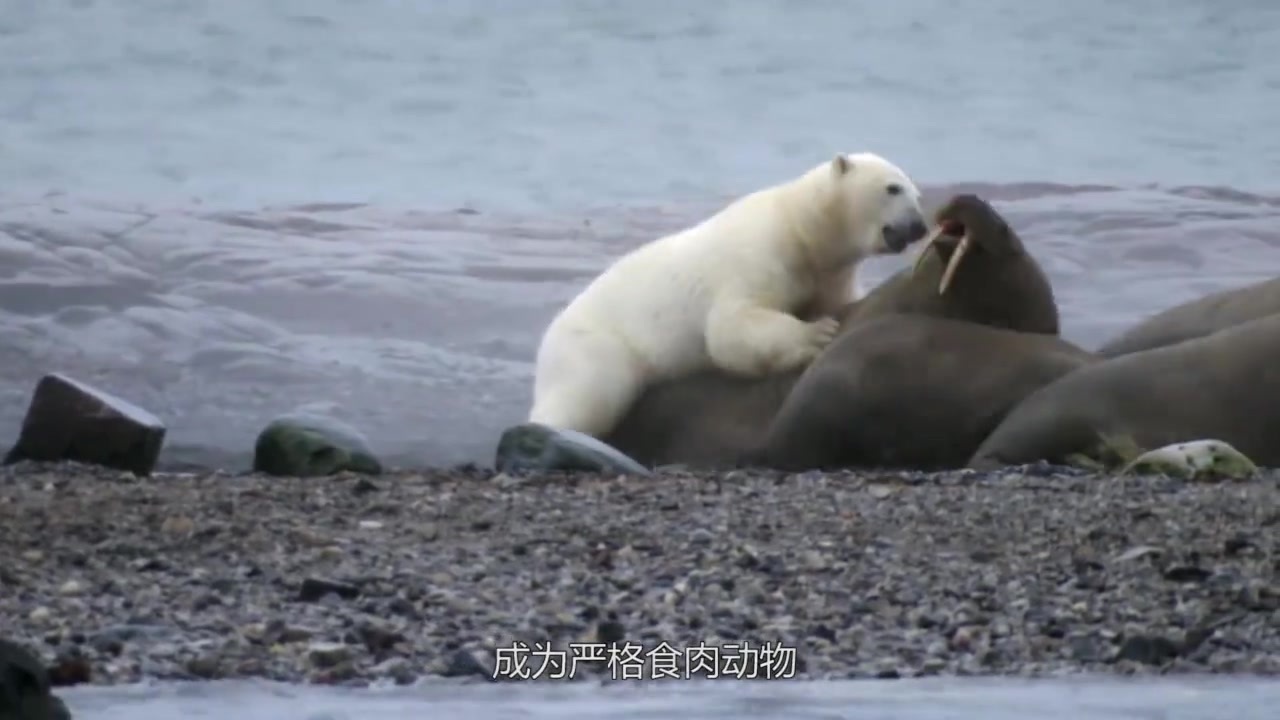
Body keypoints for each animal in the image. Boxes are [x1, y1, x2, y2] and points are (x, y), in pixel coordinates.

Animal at [527, 152, 928, 438]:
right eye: (893, 188)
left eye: (918, 194)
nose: (920, 226)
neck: (798, 227)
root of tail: (548, 339)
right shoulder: (760, 254)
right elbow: (731, 326)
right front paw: (817, 334)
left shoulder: (827, 275)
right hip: (597, 347)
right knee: (585, 395)